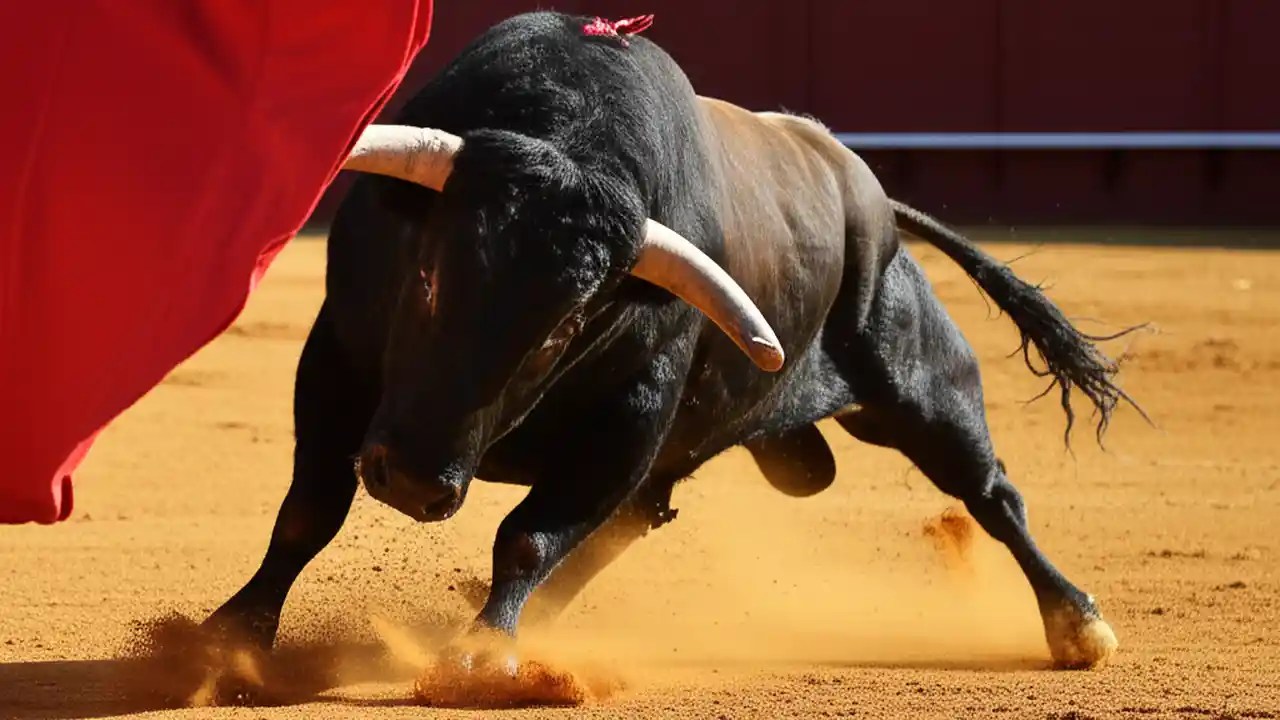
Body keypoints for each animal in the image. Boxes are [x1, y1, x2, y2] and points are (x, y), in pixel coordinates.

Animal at [200, 10, 1144, 697]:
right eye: (427, 275)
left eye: (564, 329)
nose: (413, 485)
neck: (572, 134)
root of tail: (870, 197)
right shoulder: (337, 358)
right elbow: (310, 510)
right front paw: (230, 640)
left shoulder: (629, 419)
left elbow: (527, 537)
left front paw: (481, 657)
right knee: (626, 525)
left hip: (914, 383)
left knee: (990, 491)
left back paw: (1079, 623)